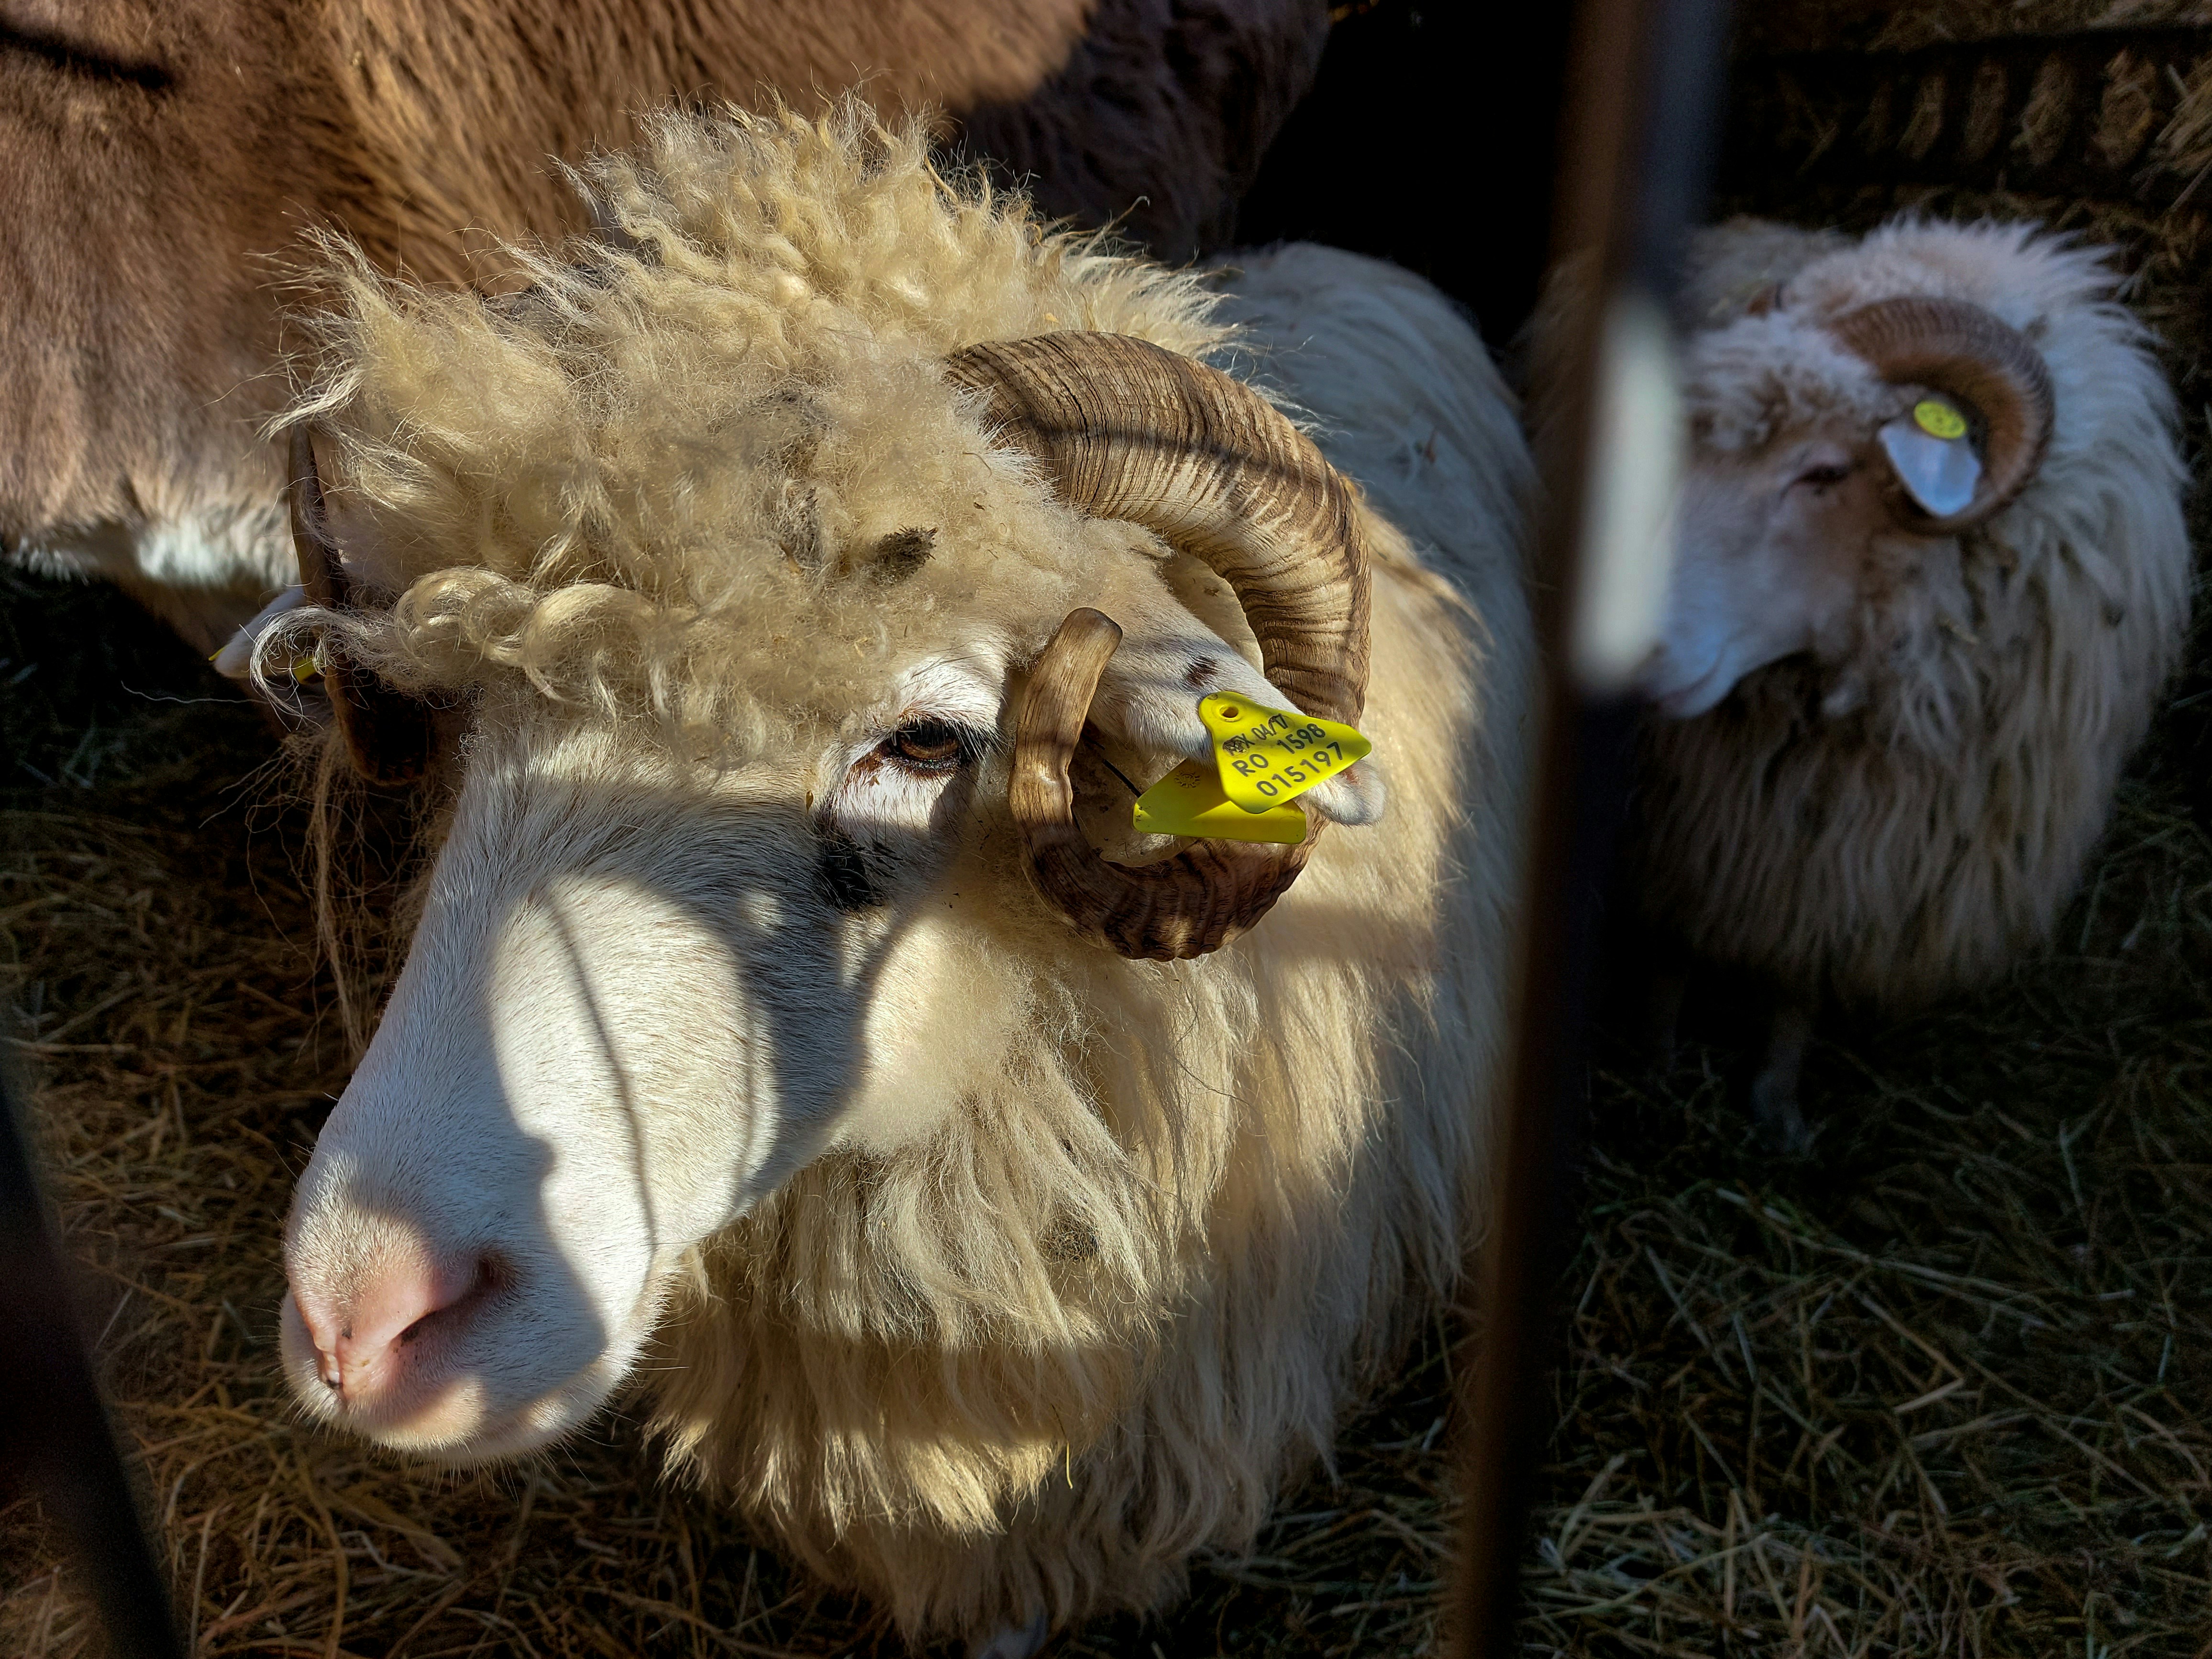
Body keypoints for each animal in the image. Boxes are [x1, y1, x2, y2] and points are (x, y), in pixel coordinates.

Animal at [1627, 215, 2191, 1146]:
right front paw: (1653, 1057)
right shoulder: (1680, 828)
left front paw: (1777, 1106)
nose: (1628, 646)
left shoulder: (1859, 862)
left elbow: (1799, 980)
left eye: (1826, 472)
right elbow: (1667, 943)